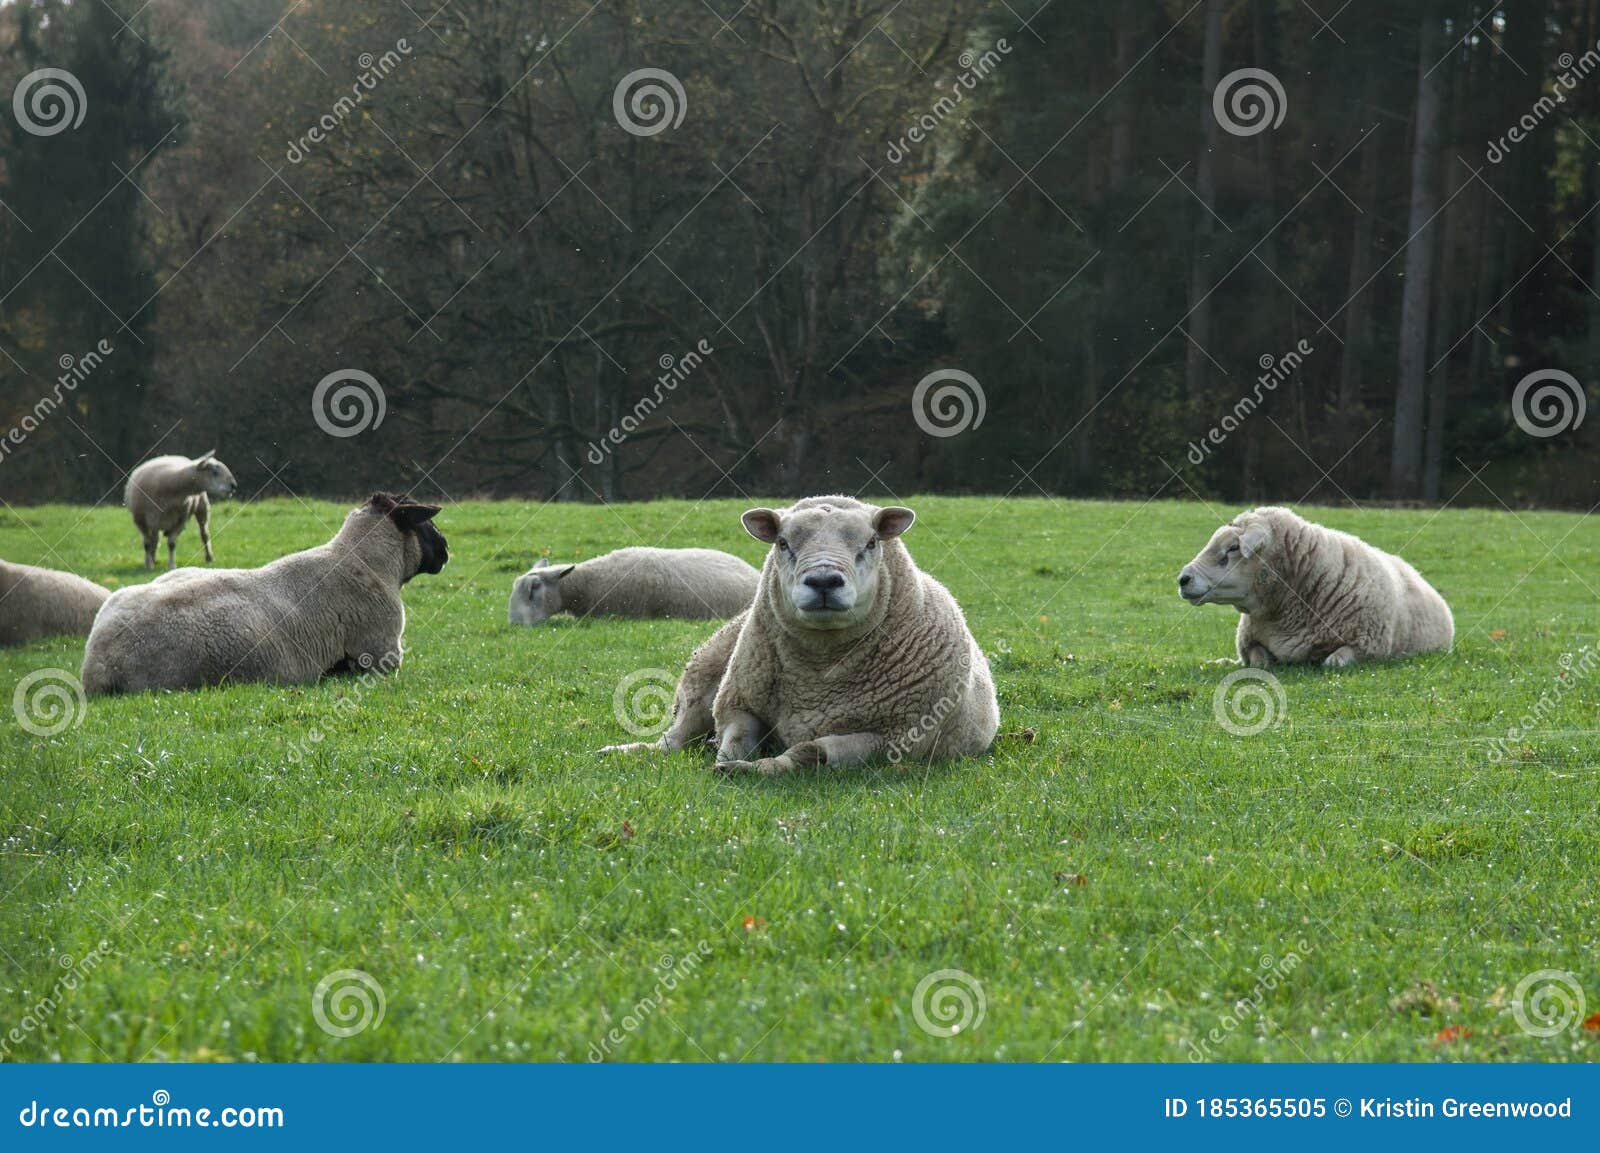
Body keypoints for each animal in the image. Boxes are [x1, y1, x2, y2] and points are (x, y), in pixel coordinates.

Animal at [603, 496, 999, 775]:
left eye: (872, 542)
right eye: (782, 542)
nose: (823, 581)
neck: (817, 674)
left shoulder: (890, 739)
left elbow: (807, 750)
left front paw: (753, 769)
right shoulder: (738, 703)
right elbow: (732, 740)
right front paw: (728, 762)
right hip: (706, 676)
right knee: (672, 739)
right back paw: (623, 752)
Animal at [1177, 505, 1454, 668]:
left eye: (1233, 548)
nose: (1183, 579)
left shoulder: (1367, 646)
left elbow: (1333, 663)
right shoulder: (1250, 643)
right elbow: (1258, 663)